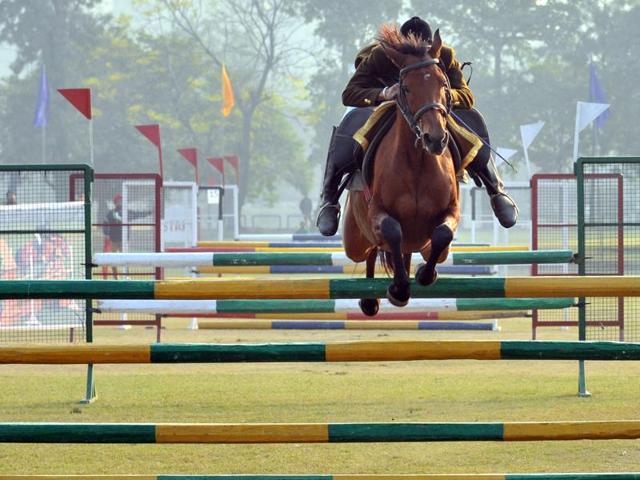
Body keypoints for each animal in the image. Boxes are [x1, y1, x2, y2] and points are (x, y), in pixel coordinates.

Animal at [343, 28, 460, 316]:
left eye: (443, 84)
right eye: (406, 87)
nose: (435, 138)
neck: (417, 162)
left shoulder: (451, 211)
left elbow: (443, 234)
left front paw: (425, 275)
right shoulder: (377, 213)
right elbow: (393, 231)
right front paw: (398, 289)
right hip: (355, 241)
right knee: (369, 253)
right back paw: (371, 300)